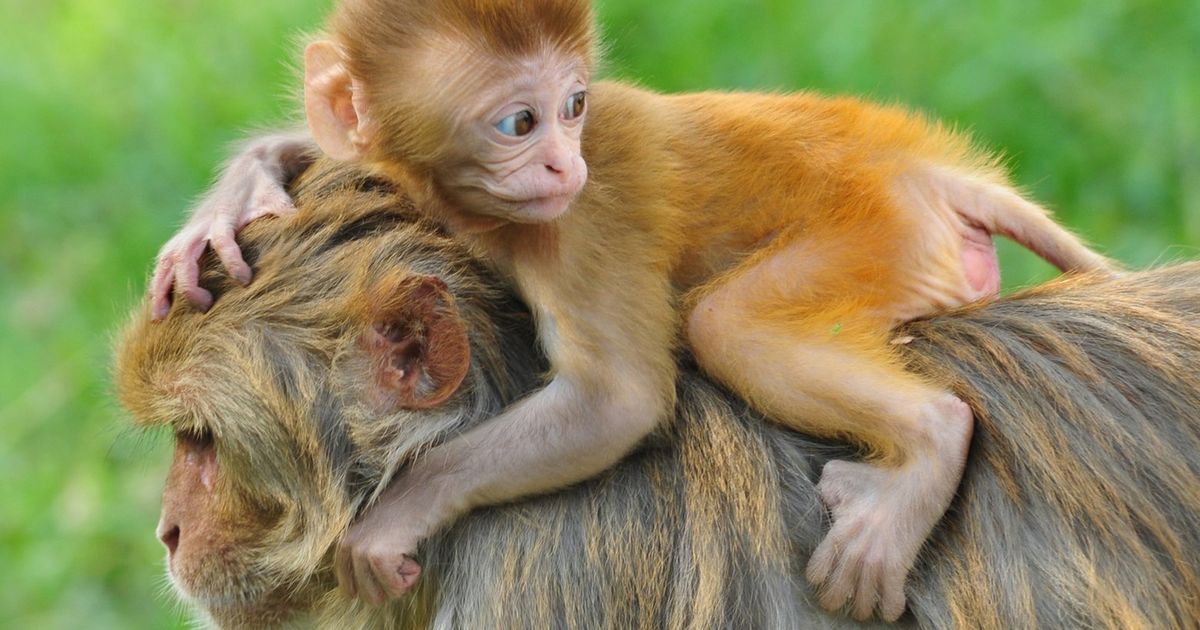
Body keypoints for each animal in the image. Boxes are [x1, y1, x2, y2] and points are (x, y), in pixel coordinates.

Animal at [147, 0, 1116, 618]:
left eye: (572, 106)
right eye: (518, 122)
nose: (562, 163)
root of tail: (925, 166)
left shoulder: (576, 228)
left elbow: (616, 401)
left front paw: (397, 516)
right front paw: (238, 196)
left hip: (880, 234)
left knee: (729, 327)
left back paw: (929, 444)